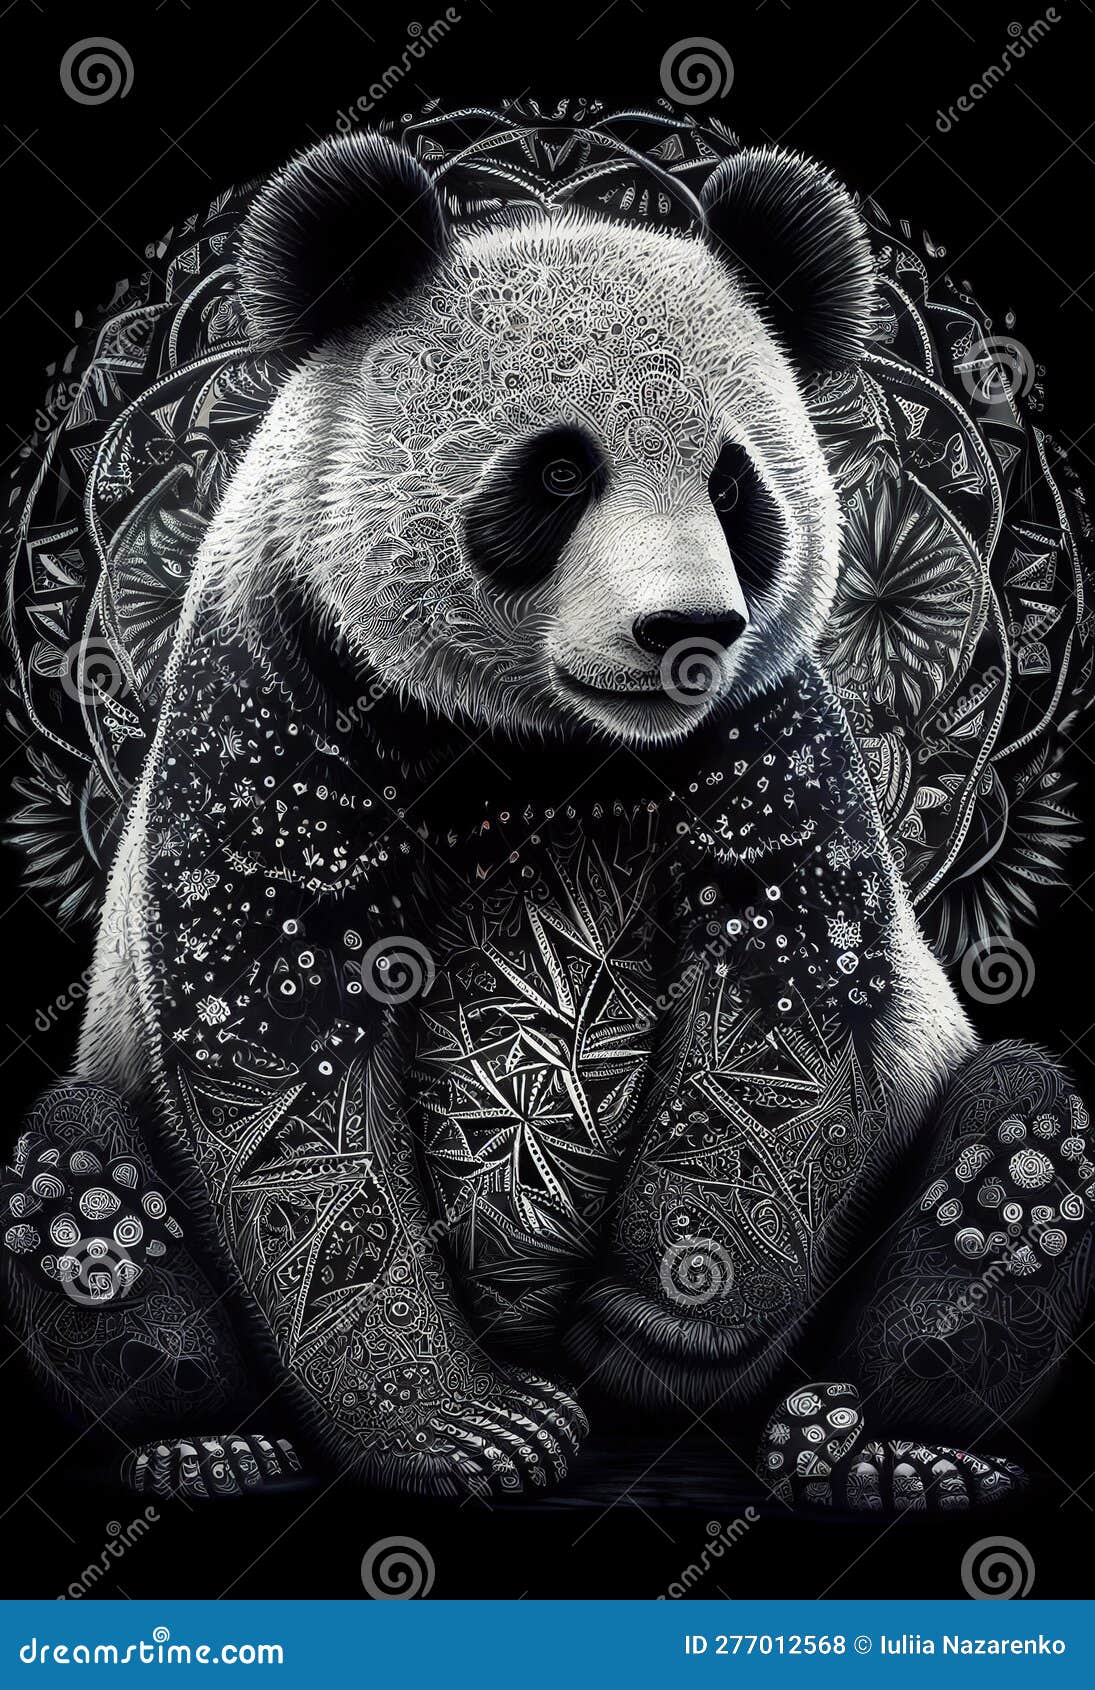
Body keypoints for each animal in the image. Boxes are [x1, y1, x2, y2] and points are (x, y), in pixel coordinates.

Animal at [4, 131, 1091, 1510]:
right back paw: (193, 1415)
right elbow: (282, 1077)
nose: (686, 630)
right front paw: (469, 1429)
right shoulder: (278, 679)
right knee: (77, 1152)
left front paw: (666, 1314)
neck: (540, 749)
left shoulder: (767, 719)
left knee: (1014, 1108)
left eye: (735, 486)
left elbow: (783, 1000)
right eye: (562, 472)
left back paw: (881, 1430)